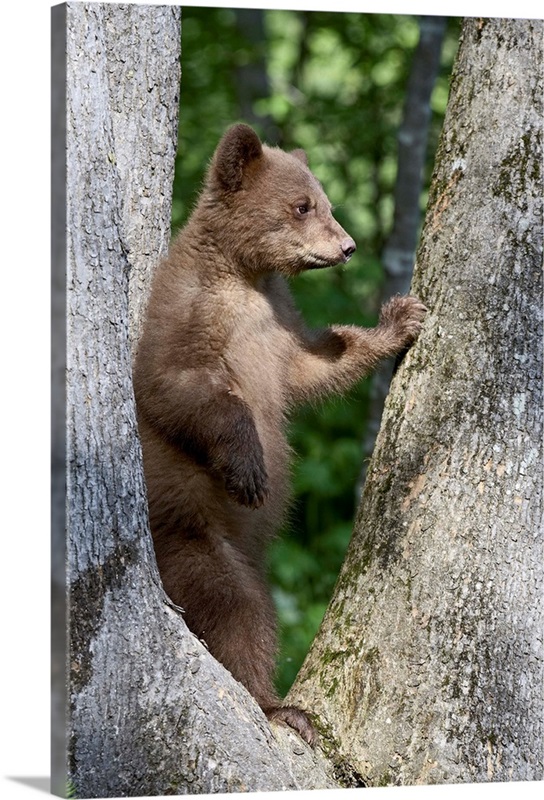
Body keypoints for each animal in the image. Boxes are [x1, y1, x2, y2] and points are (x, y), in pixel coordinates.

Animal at [133, 123, 426, 746]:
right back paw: (274, 704)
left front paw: (397, 320)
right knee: (235, 611)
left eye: (326, 201)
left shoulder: (278, 326)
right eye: (302, 205)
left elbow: (315, 364)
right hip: (192, 535)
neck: (244, 275)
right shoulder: (188, 315)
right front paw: (249, 467)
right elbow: (180, 389)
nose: (348, 247)